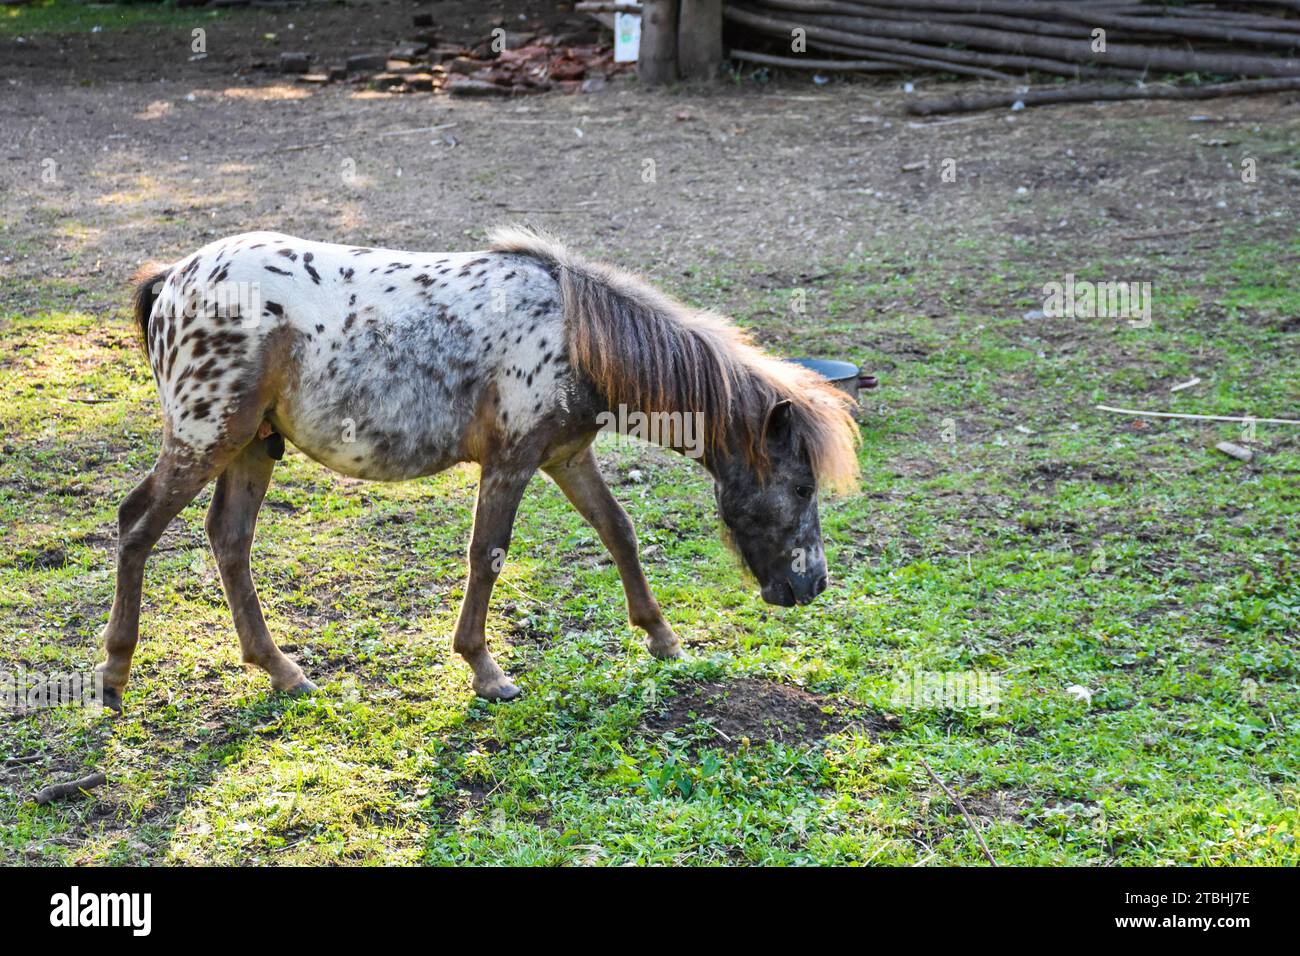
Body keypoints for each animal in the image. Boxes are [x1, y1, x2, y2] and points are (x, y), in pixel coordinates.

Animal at [99, 227, 859, 709]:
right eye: (800, 485)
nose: (811, 585)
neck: (574, 335)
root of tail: (173, 281)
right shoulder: (512, 462)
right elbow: (488, 554)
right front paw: (486, 672)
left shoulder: (566, 457)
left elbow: (619, 533)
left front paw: (663, 639)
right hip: (205, 438)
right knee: (136, 525)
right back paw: (114, 674)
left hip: (251, 446)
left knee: (229, 541)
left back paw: (282, 672)